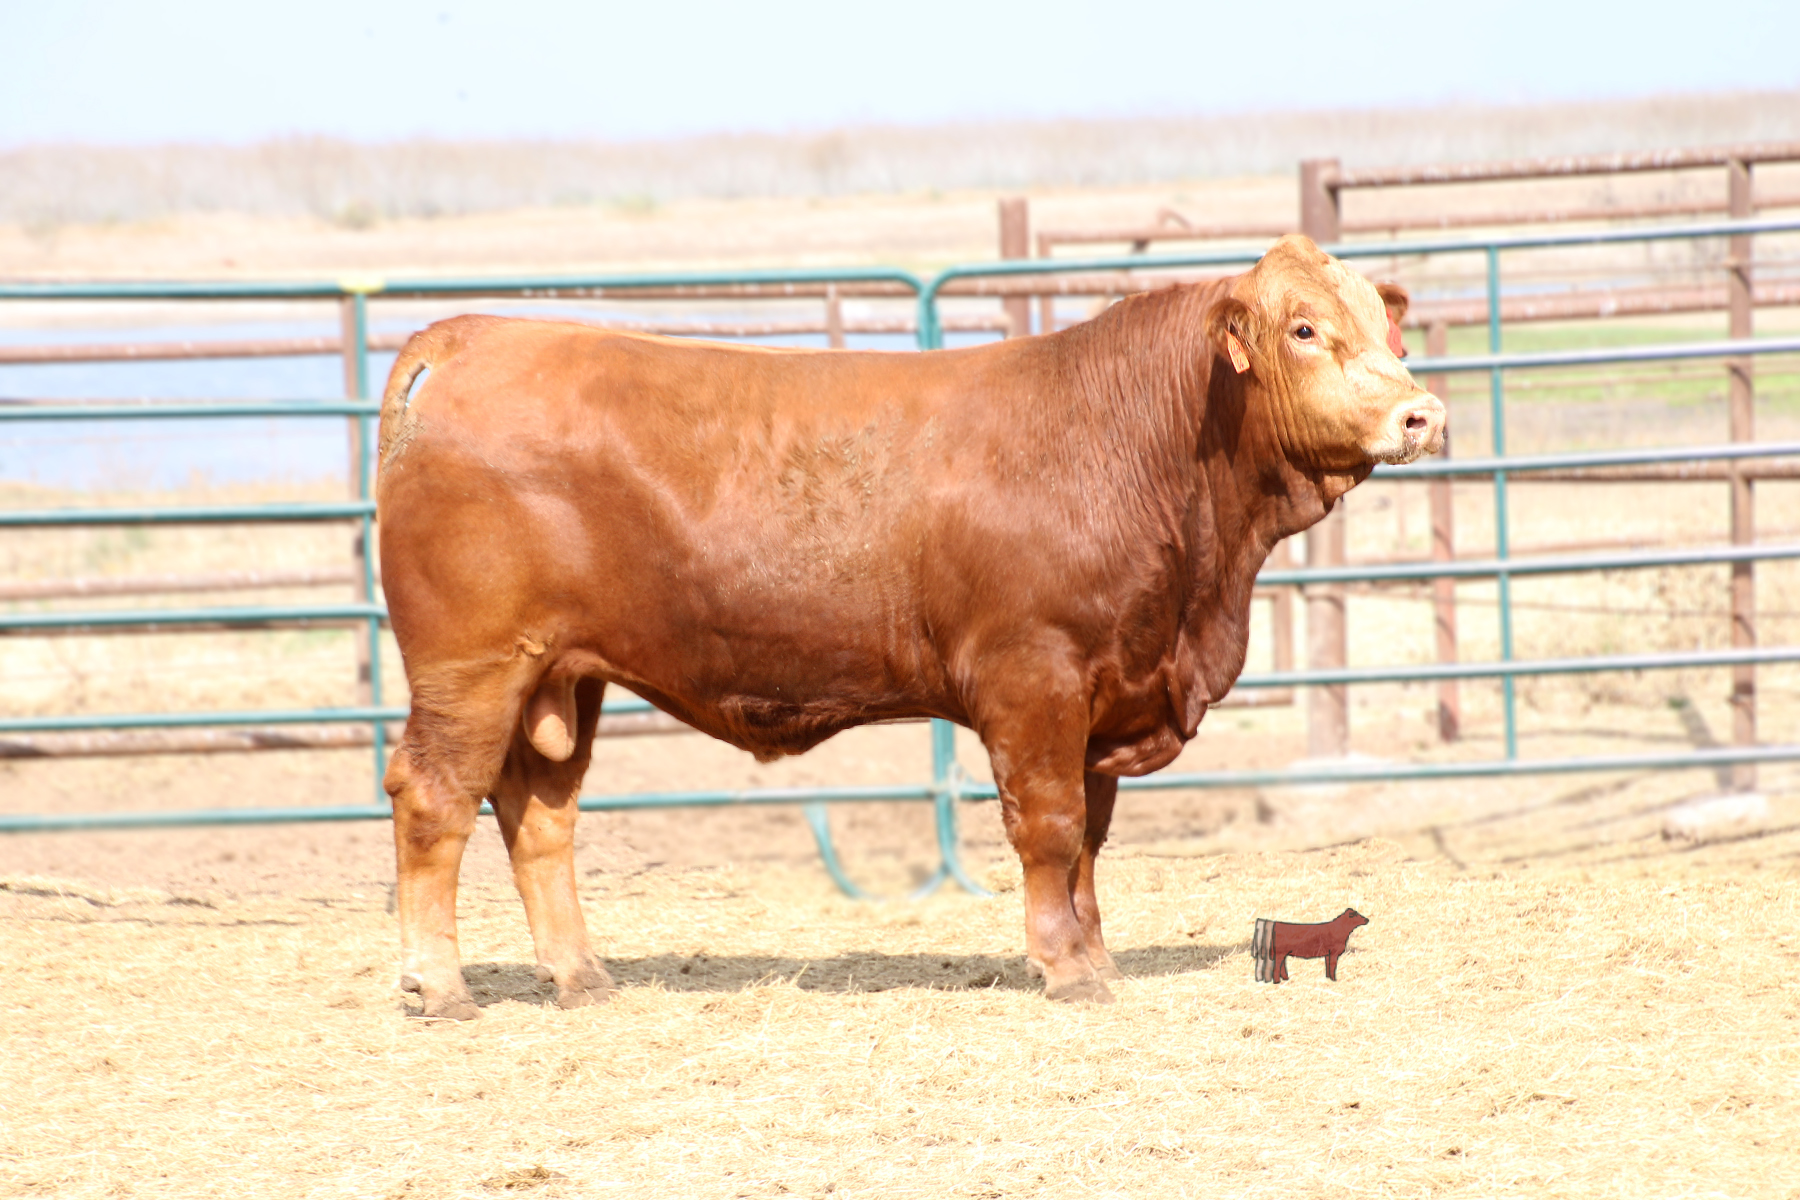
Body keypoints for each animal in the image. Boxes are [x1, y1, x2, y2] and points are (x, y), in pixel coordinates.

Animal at [374, 234, 1444, 1018]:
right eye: (1303, 327)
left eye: (1384, 327)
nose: (1422, 414)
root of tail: (474, 335)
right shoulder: (1035, 679)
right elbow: (1050, 829)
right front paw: (1068, 970)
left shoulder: (1105, 693)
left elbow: (1090, 841)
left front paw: (1093, 954)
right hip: (473, 668)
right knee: (435, 799)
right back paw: (439, 986)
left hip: (561, 678)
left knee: (539, 816)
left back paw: (583, 978)